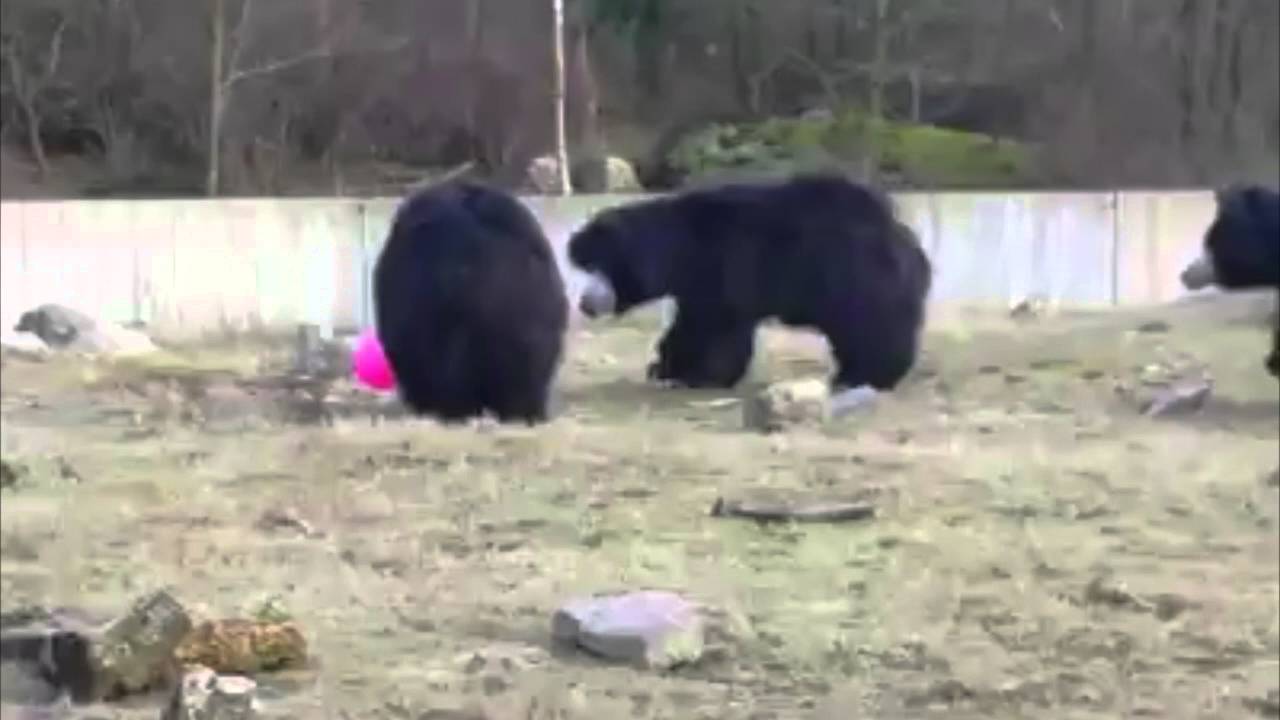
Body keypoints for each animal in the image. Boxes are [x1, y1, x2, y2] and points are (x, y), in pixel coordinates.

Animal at [567, 172, 933, 394]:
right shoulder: (697, 280)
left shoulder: (725, 265)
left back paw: (866, 375)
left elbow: (714, 327)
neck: (680, 247)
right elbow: (696, 322)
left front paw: (690, 373)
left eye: (601, 268)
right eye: (588, 268)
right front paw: (668, 368)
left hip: (855, 275)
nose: (586, 303)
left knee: (871, 327)